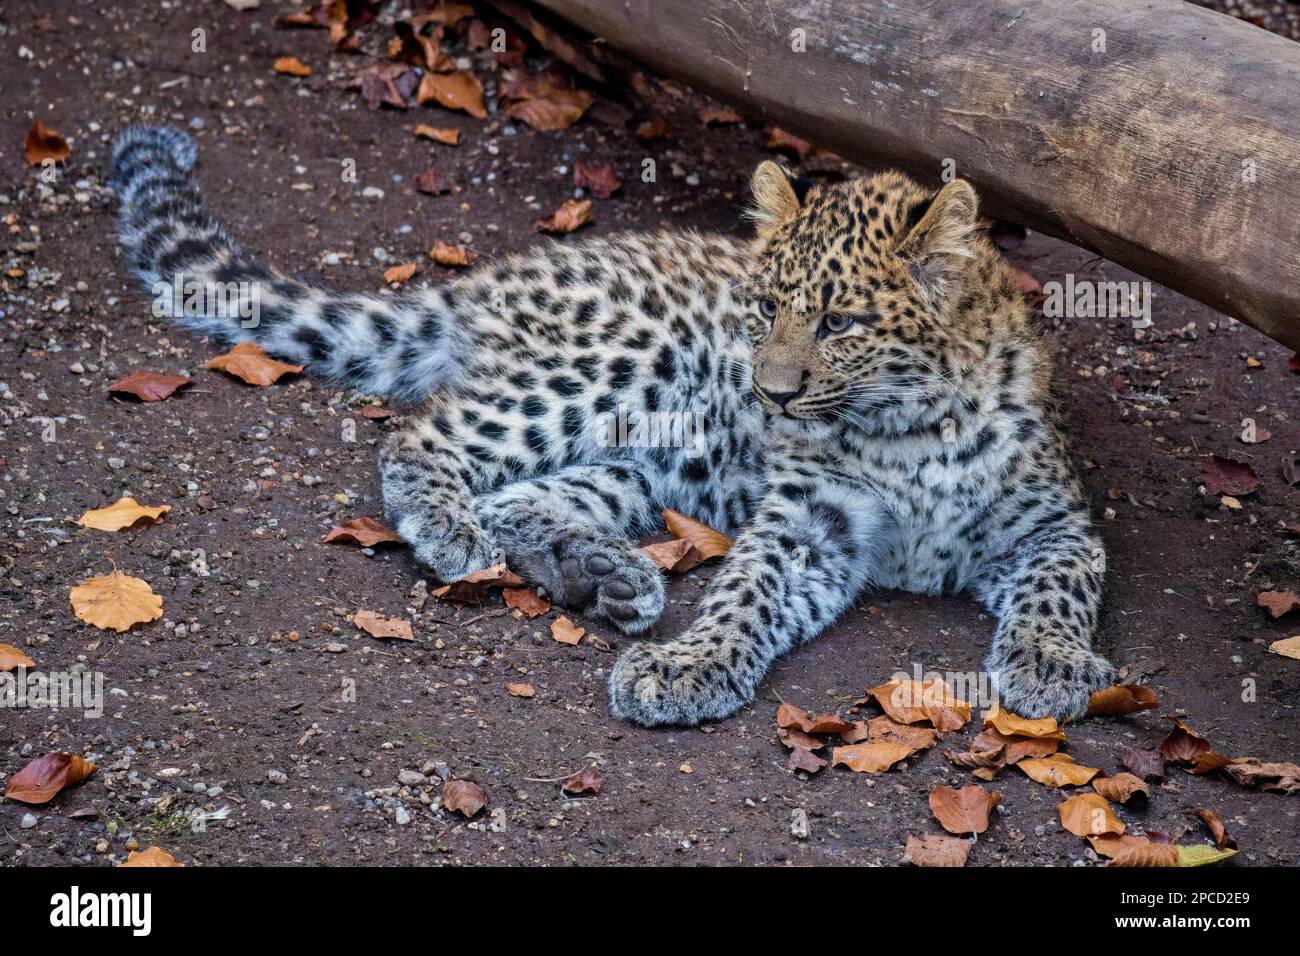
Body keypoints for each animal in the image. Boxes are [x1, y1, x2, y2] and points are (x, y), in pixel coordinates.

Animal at [109, 124, 1113, 727]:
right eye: (764, 309)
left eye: (840, 325)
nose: (771, 392)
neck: (906, 430)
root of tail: (489, 280)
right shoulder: (807, 521)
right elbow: (747, 590)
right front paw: (691, 666)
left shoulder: (1058, 526)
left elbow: (1059, 589)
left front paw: (1050, 664)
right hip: (616, 373)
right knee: (423, 437)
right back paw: (460, 533)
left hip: (659, 460)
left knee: (519, 496)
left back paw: (601, 574)